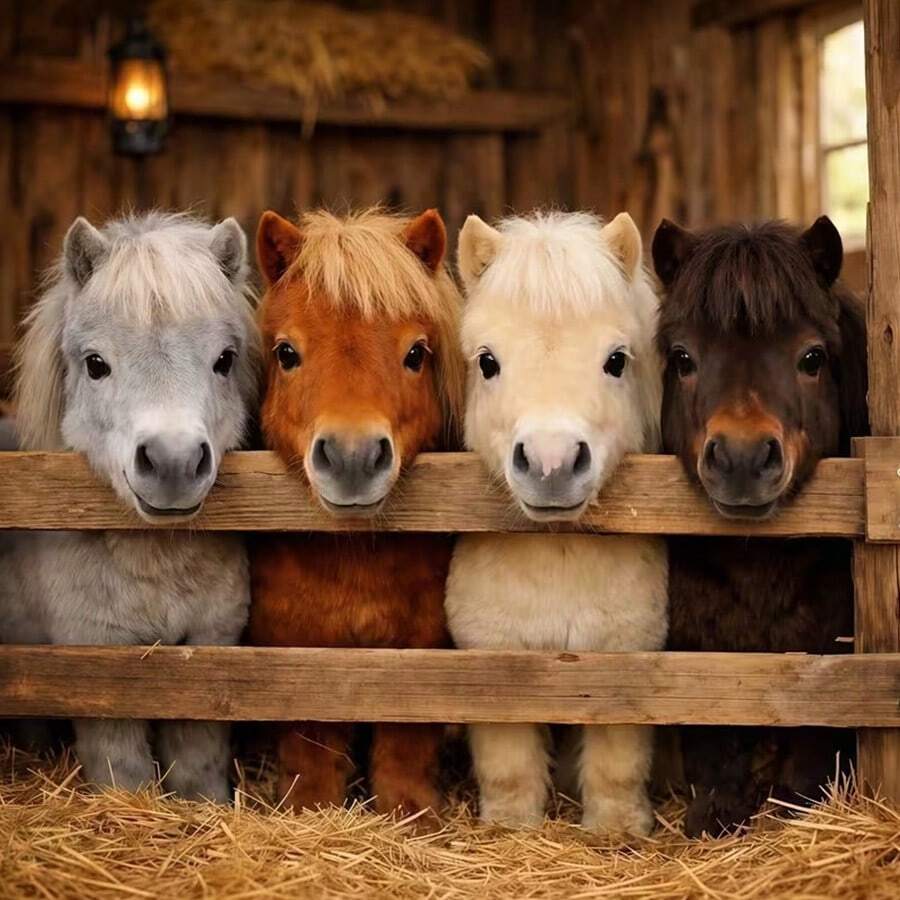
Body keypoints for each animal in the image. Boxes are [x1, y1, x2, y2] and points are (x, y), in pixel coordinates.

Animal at [1, 212, 262, 801]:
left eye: (224, 360)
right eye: (96, 364)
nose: (173, 462)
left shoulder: (211, 644)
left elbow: (197, 768)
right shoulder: (98, 660)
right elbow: (124, 772)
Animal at [248, 206, 464, 821]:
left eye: (415, 353)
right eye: (286, 352)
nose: (351, 456)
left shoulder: (425, 644)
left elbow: (405, 744)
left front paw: (410, 816)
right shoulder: (293, 645)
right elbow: (312, 744)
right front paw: (309, 809)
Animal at [445, 211, 668, 834]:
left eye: (616, 359)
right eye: (488, 361)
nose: (551, 463)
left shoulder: (625, 660)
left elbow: (617, 766)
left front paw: (617, 832)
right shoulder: (492, 661)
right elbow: (509, 768)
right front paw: (509, 829)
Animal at [651, 215, 867, 837]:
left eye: (813, 357)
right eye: (682, 357)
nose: (743, 458)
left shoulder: (829, 651)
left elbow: (814, 746)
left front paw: (794, 807)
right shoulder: (697, 644)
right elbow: (713, 747)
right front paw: (717, 813)